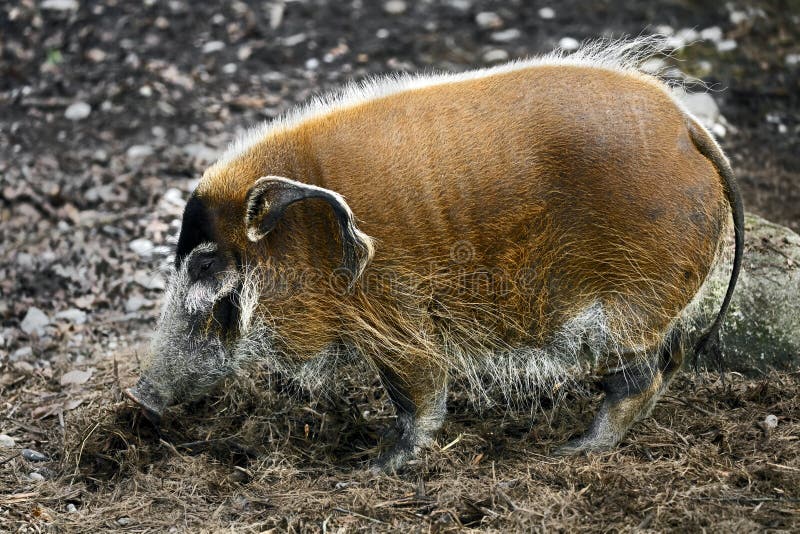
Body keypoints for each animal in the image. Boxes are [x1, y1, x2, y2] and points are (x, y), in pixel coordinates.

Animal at [126, 37, 744, 472]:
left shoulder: (395, 316)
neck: (310, 243)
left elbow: (418, 393)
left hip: (630, 304)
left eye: (205, 263)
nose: (140, 396)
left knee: (643, 377)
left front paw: (374, 467)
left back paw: (572, 450)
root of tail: (688, 127)